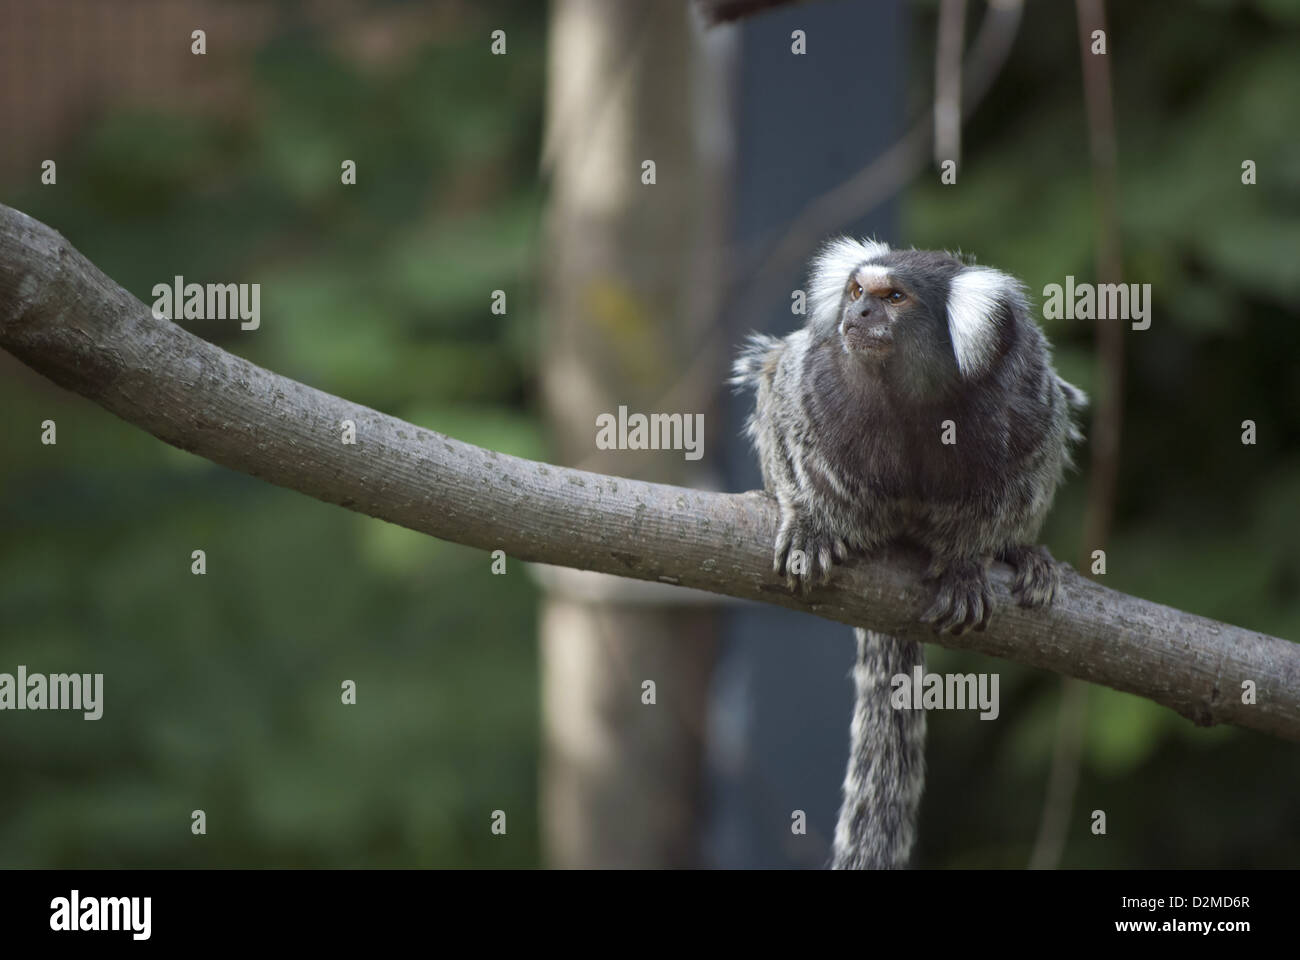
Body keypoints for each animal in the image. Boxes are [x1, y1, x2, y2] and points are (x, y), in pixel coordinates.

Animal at [731, 237, 1085, 869]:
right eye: (856, 291)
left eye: (894, 298)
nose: (860, 313)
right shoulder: (812, 379)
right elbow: (781, 391)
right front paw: (810, 522)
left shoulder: (1025, 401)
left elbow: (1026, 467)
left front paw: (968, 563)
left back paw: (1023, 554)